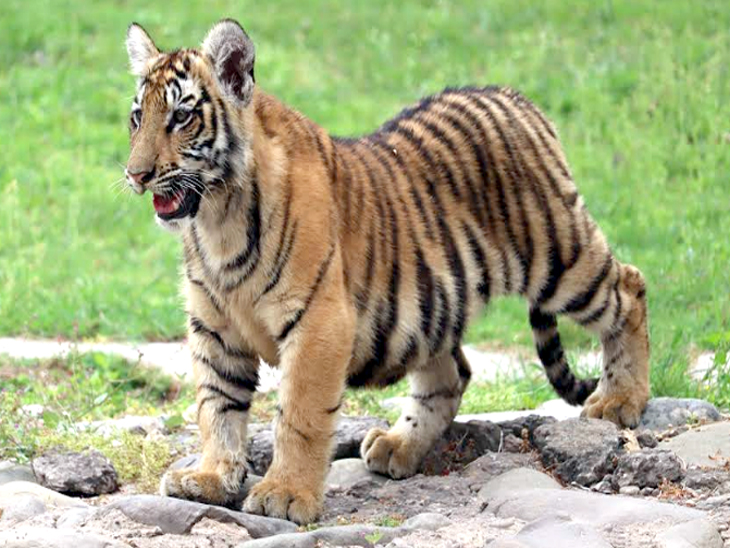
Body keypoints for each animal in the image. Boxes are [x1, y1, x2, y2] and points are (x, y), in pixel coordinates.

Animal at [123, 19, 650, 524]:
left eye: (181, 116)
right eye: (137, 117)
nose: (135, 174)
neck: (216, 220)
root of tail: (513, 96)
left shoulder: (319, 322)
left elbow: (298, 414)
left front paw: (285, 495)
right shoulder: (214, 328)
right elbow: (217, 409)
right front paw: (211, 478)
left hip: (557, 257)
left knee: (629, 286)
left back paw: (622, 400)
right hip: (431, 305)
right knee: (452, 374)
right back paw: (399, 446)